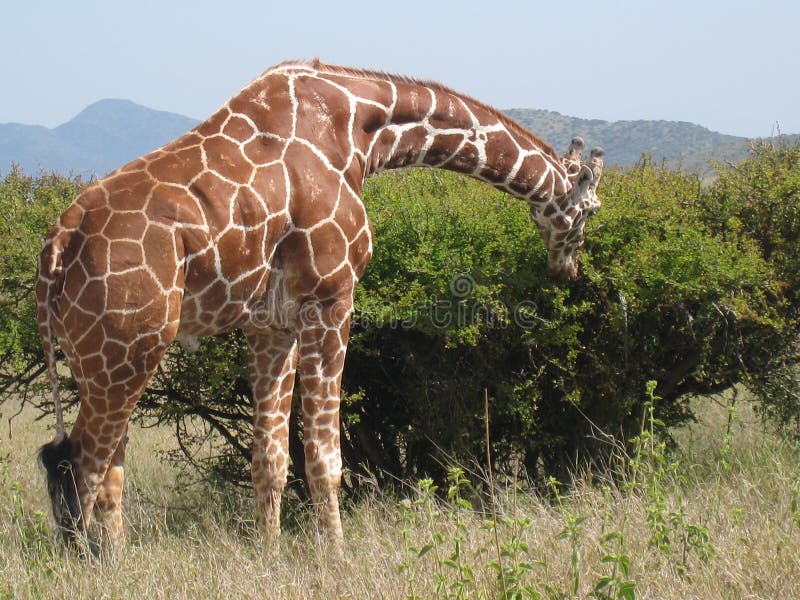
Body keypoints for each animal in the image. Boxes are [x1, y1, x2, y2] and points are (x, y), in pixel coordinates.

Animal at [37, 59, 604, 548]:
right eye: (591, 210)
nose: (568, 270)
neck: (360, 131)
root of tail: (58, 243)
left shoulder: (271, 324)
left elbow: (269, 459)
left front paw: (269, 555)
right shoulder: (332, 298)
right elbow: (324, 458)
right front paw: (335, 554)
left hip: (99, 355)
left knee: (102, 464)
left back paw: (119, 556)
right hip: (129, 345)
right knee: (78, 461)